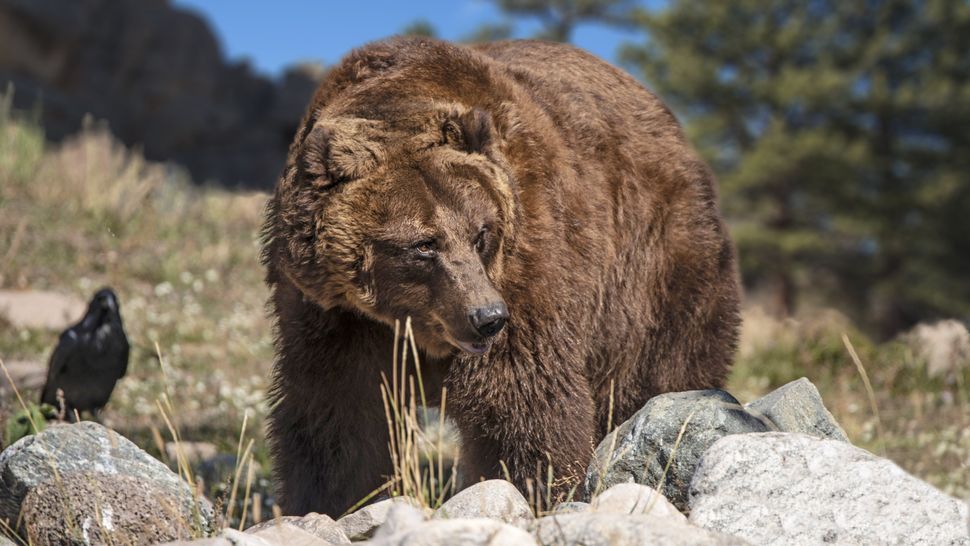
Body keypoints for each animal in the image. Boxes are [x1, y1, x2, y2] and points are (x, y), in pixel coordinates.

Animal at [261, 36, 741, 517]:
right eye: (424, 244)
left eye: (481, 233)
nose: (486, 317)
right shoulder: (333, 313)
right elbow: (337, 414)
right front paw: (327, 501)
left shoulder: (527, 260)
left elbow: (519, 398)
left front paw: (535, 488)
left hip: (656, 264)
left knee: (661, 367)